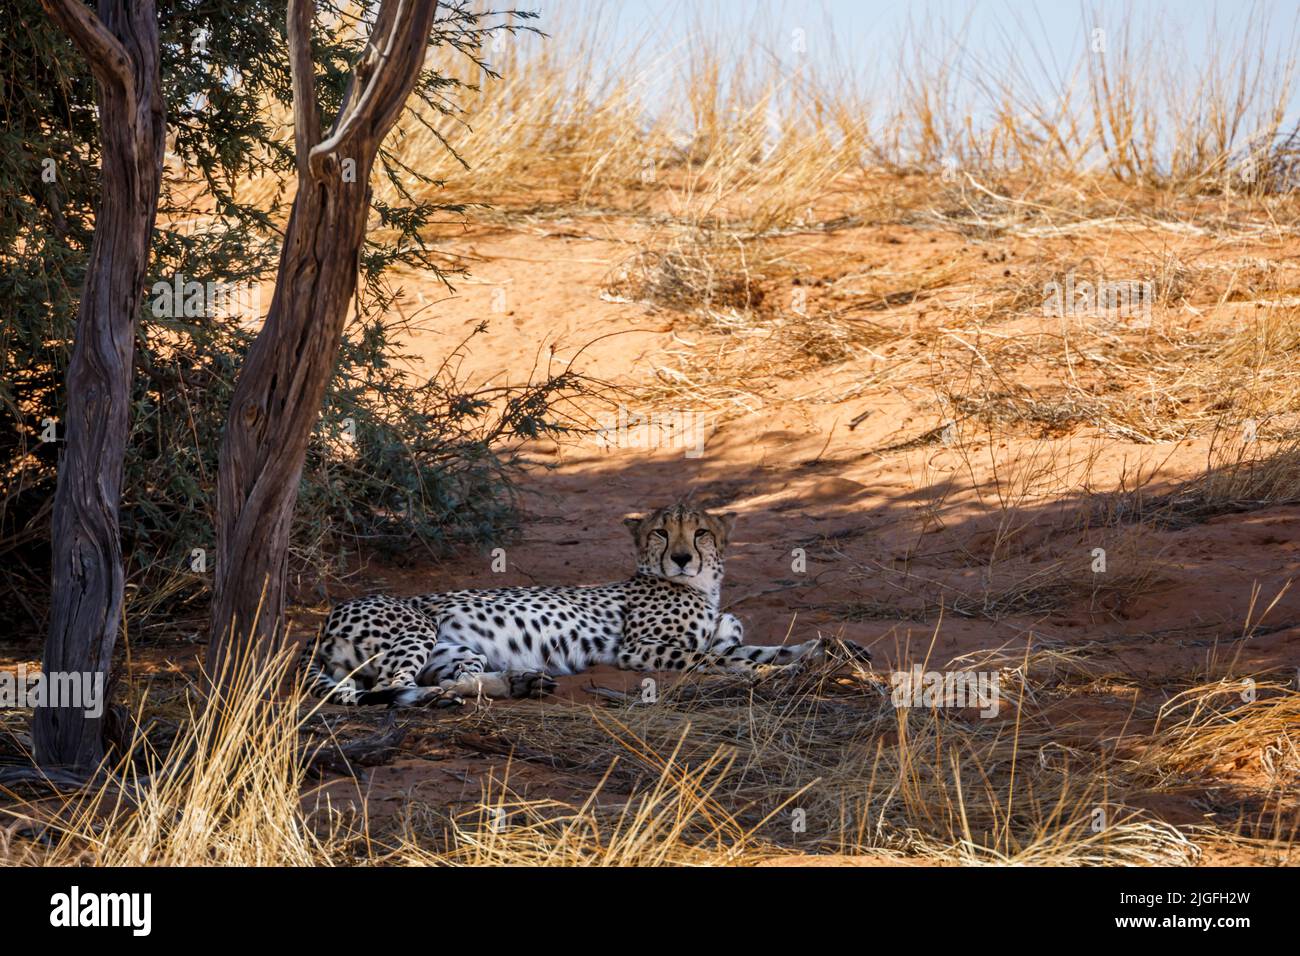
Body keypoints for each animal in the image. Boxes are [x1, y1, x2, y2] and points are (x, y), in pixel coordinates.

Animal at [300, 503, 872, 707]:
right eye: (661, 533)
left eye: (702, 533)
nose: (683, 557)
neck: (703, 589)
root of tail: (324, 622)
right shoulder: (641, 651)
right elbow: (716, 660)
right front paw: (765, 677)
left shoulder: (727, 635)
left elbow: (770, 647)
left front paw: (834, 651)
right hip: (415, 629)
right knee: (386, 689)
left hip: (457, 651)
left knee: (444, 679)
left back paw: (517, 683)